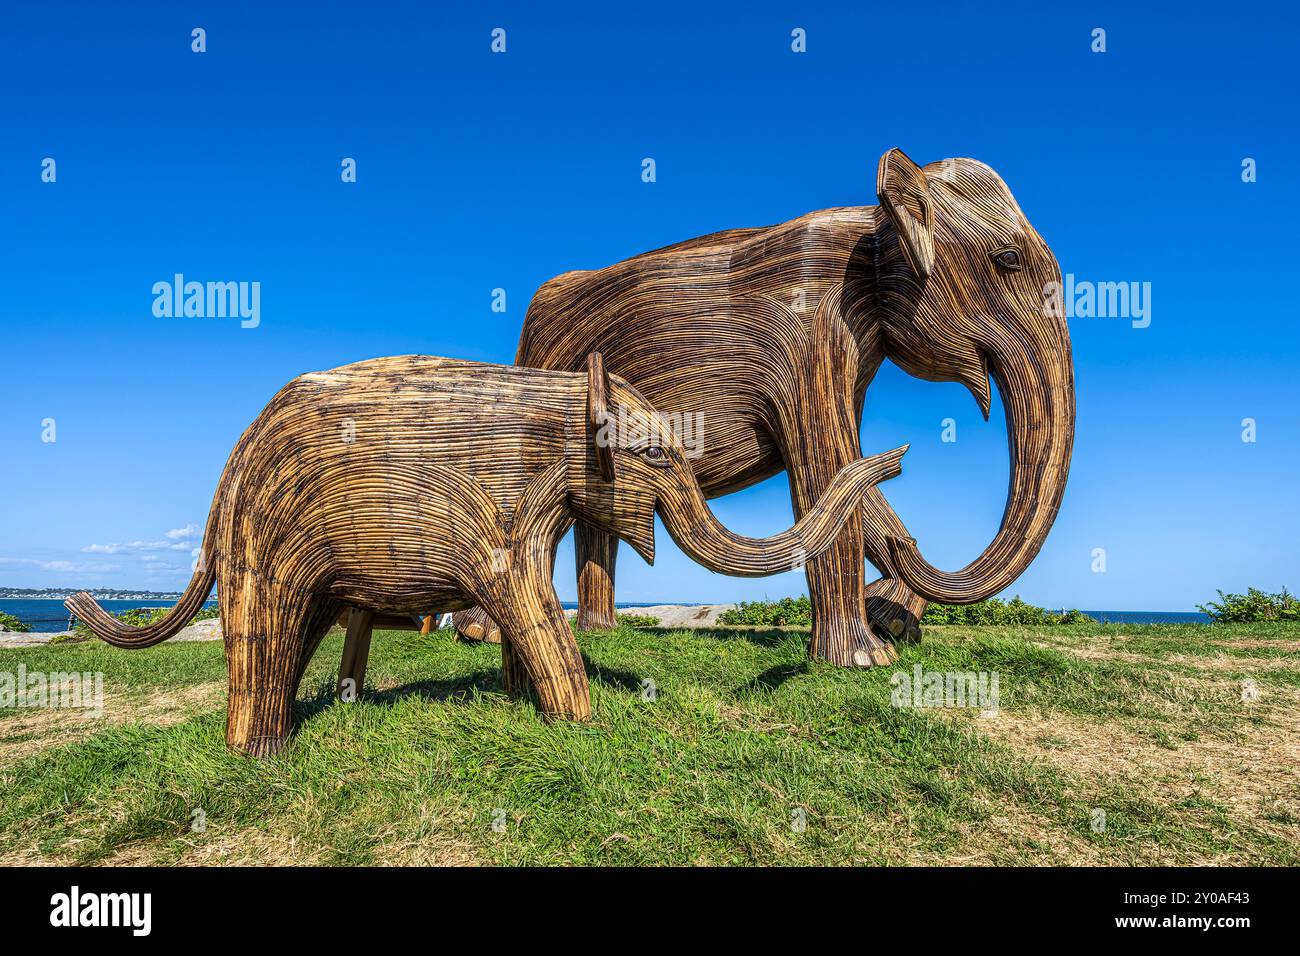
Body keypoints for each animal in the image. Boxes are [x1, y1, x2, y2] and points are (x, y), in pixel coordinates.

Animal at [67, 353, 908, 755]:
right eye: (656, 458)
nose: (899, 457)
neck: (564, 394)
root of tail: (226, 475)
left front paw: (519, 703)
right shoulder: (497, 516)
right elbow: (521, 595)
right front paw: (583, 727)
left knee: (302, 630)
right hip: (267, 534)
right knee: (266, 626)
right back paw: (260, 754)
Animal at [455, 148, 1075, 667]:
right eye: (1008, 258)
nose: (892, 610)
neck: (871, 224)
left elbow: (850, 475)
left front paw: (887, 629)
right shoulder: (808, 338)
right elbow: (828, 468)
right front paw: (864, 660)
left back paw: (598, 633)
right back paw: (479, 633)